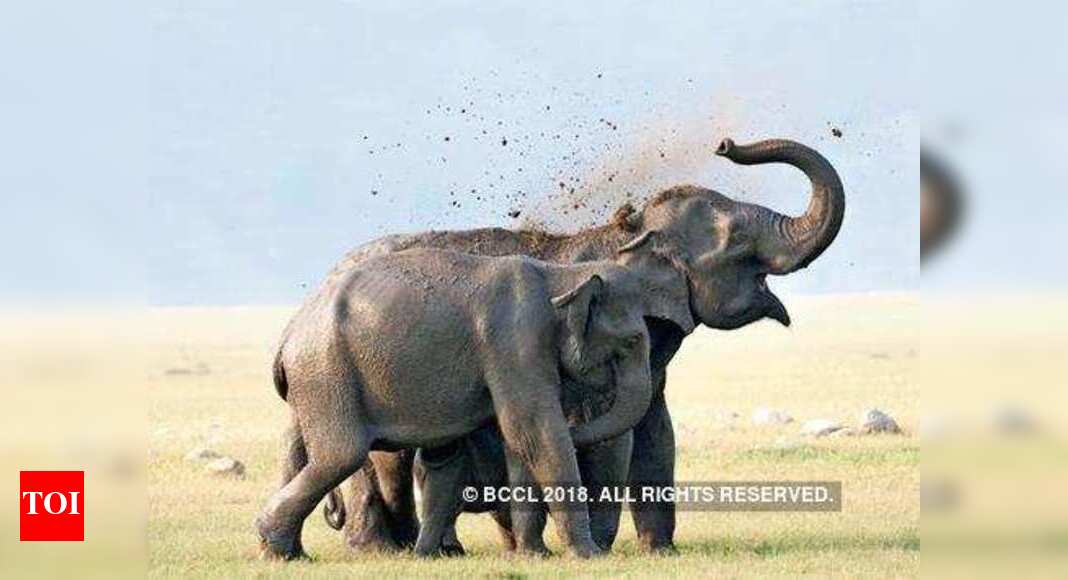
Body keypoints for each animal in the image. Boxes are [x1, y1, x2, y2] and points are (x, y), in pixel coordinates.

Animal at [256, 240, 696, 560]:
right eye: (633, 341)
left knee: (436, 458)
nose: (579, 430)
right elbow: (534, 431)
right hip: (326, 373)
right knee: (340, 455)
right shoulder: (517, 342)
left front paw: (534, 557)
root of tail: (287, 334)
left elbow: (519, 441)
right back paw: (276, 549)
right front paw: (586, 557)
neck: (559, 276)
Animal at [299, 137, 845, 554]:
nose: (726, 144)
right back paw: (382, 550)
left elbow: (656, 433)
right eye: (736, 241)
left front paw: (659, 552)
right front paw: (600, 548)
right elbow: (607, 436)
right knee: (382, 460)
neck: (624, 232)